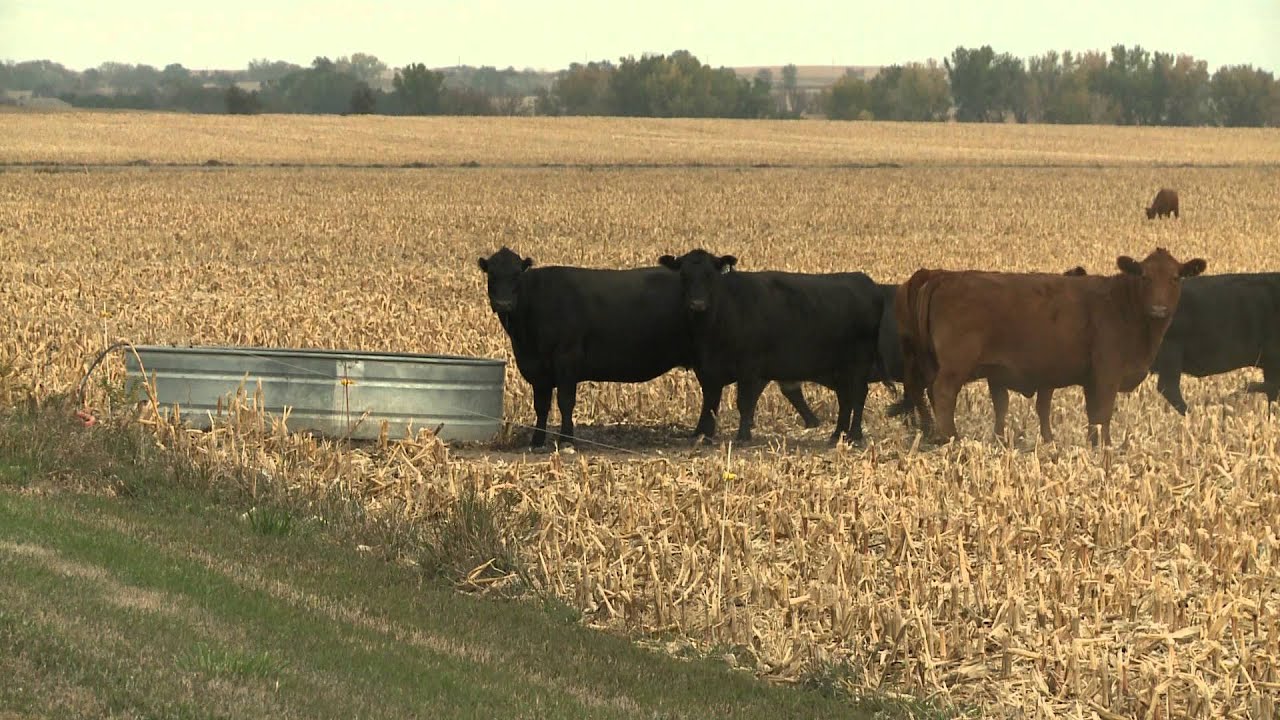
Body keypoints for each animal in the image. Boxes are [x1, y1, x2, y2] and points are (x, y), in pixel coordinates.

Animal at [477, 247, 821, 449]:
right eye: (492, 274)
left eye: (516, 276)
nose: (504, 303)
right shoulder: (536, 368)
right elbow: (541, 406)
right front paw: (537, 440)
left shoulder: (566, 361)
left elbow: (565, 402)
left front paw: (568, 439)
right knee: (716, 393)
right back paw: (700, 433)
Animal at [658, 249, 883, 445]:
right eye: (684, 275)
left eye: (710, 275)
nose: (697, 304)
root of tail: (864, 282)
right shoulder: (706, 369)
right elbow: (710, 403)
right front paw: (702, 434)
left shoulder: (749, 366)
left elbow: (744, 402)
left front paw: (743, 436)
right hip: (841, 367)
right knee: (845, 398)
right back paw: (837, 435)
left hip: (858, 363)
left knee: (859, 395)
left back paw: (854, 435)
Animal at [896, 248, 1206, 446]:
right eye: (1145, 277)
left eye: (1175, 278)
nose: (1159, 309)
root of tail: (943, 275)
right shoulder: (1108, 371)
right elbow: (1103, 411)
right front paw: (1107, 447)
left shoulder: (1091, 378)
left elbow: (1092, 413)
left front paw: (1093, 443)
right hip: (954, 366)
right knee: (943, 393)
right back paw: (952, 438)